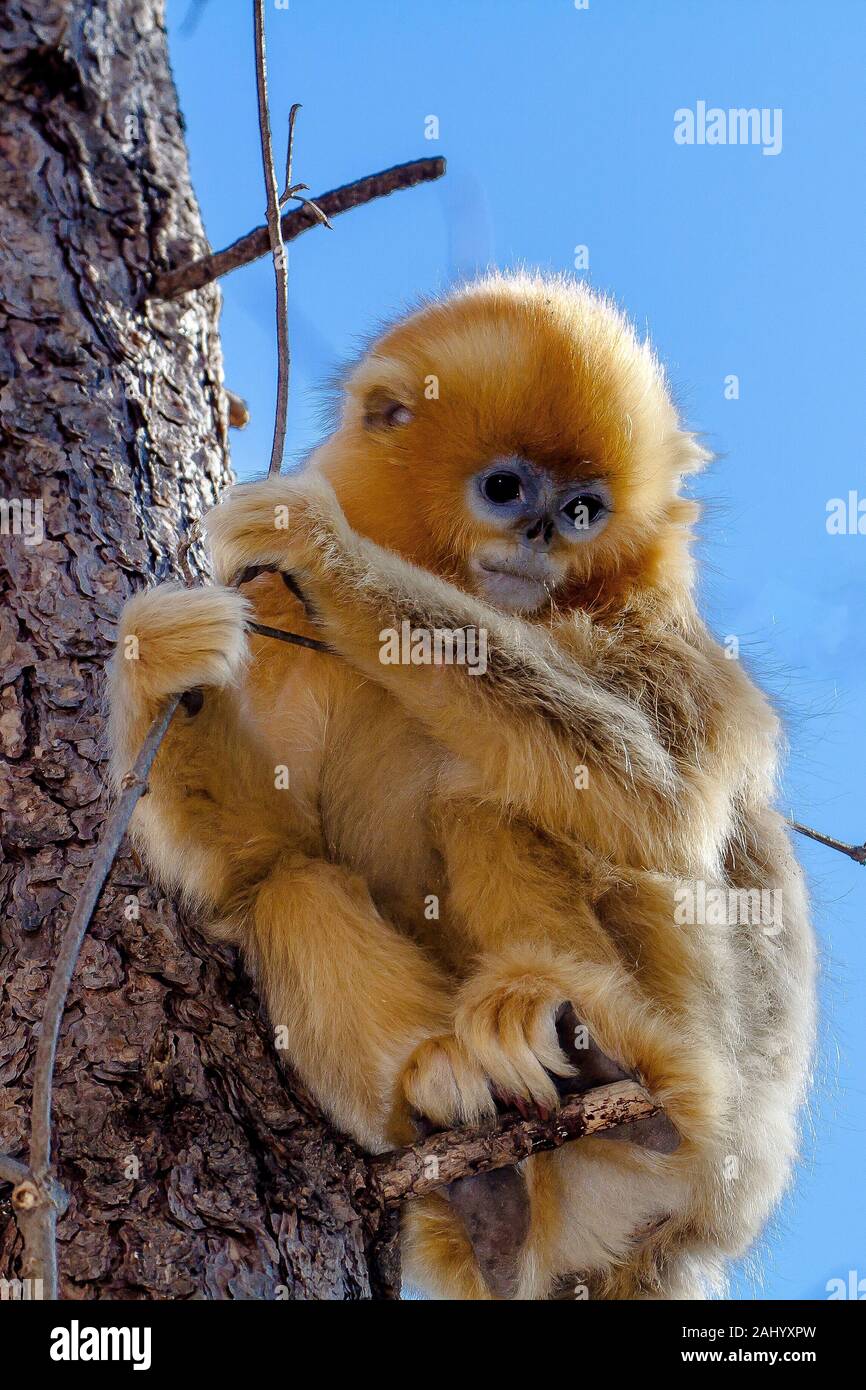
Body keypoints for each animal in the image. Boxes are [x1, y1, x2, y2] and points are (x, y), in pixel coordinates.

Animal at [107, 273, 816, 1300]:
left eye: (585, 511)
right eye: (506, 488)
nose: (542, 535)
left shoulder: (661, 629)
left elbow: (666, 803)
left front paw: (327, 551)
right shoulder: (277, 618)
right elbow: (257, 855)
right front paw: (159, 656)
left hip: (729, 1110)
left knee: (485, 798)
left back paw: (605, 1065)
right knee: (292, 883)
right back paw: (460, 1125)